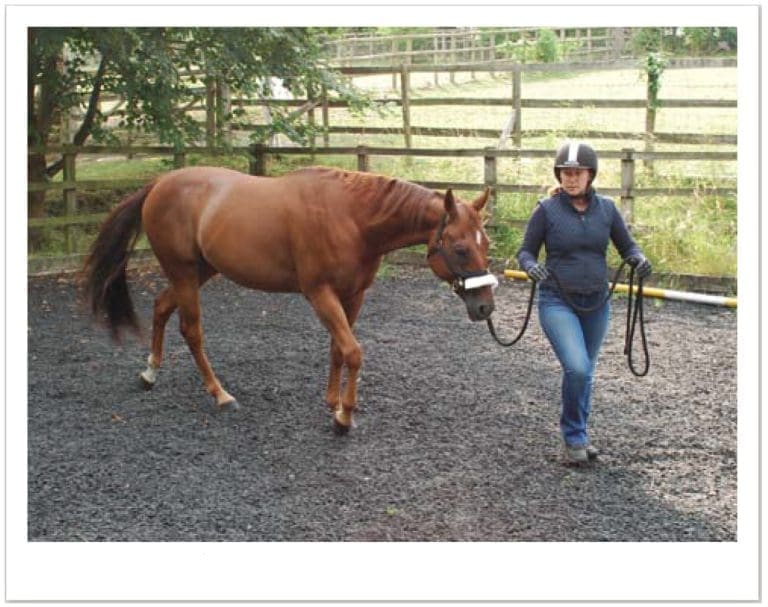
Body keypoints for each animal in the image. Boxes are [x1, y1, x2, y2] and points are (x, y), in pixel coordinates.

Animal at [82, 165, 497, 432]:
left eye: (486, 244)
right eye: (461, 249)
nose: (485, 307)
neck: (353, 219)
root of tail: (159, 184)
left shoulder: (353, 296)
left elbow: (338, 349)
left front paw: (333, 402)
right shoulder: (319, 294)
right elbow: (353, 351)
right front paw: (344, 417)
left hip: (199, 271)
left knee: (161, 307)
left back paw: (150, 372)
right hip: (184, 272)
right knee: (191, 330)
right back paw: (220, 395)